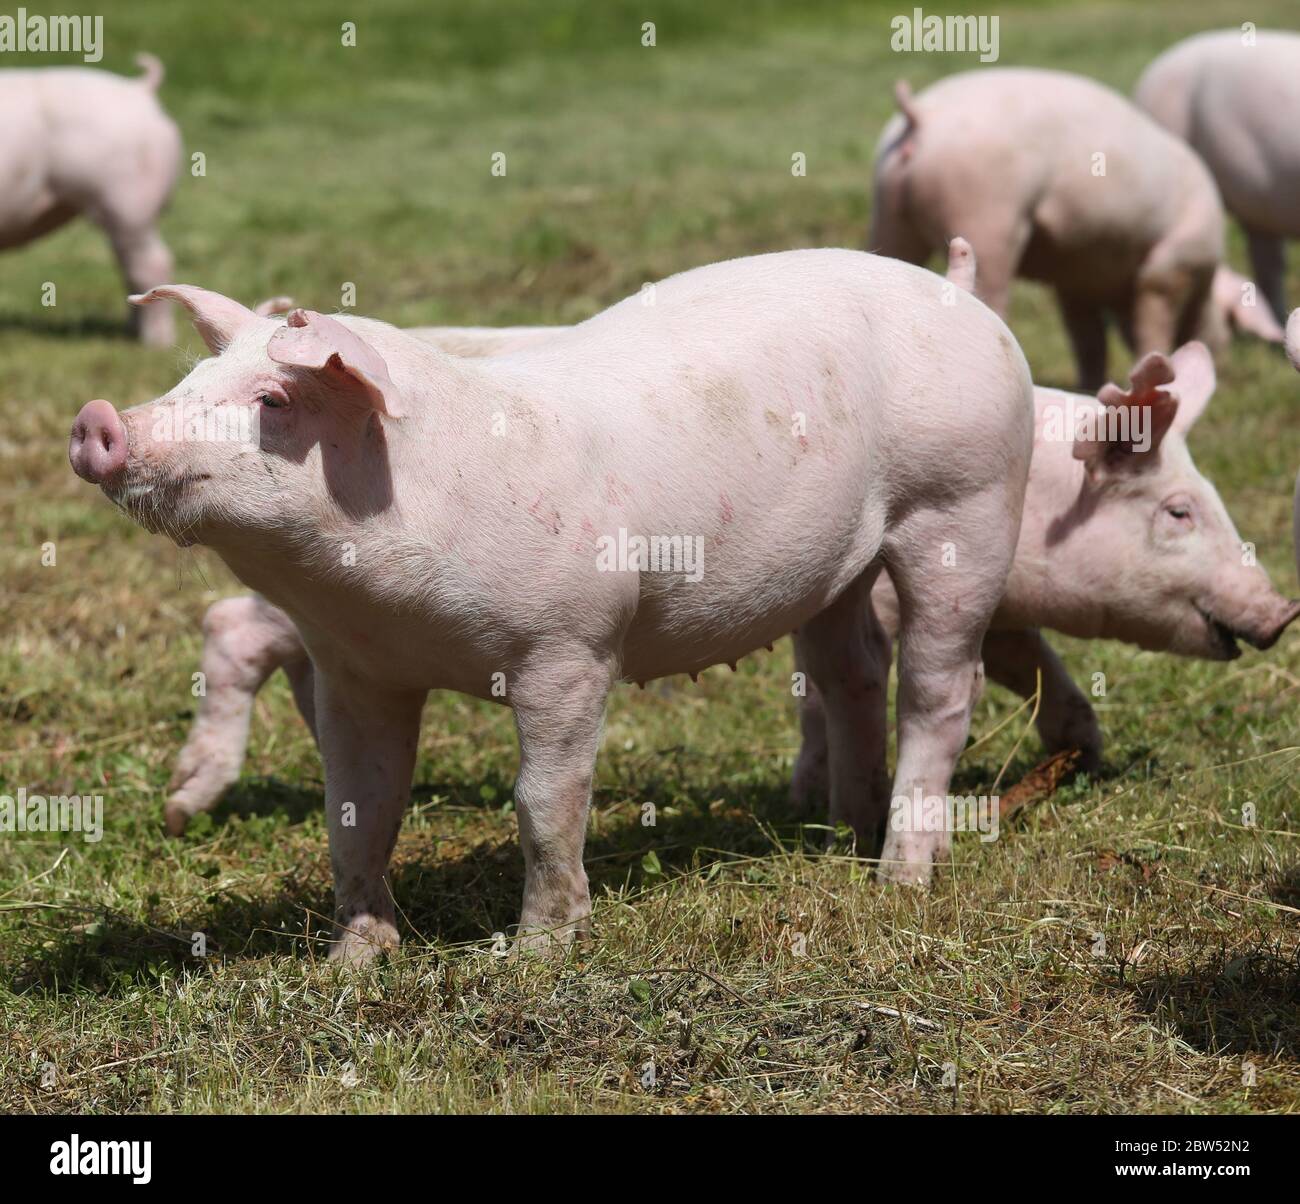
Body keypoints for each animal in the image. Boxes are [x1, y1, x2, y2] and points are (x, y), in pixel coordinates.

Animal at [0, 55, 181, 345]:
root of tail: (138, 89)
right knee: (128, 267)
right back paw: (130, 332)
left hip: (126, 201)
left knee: (154, 263)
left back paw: (156, 343)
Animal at [69, 250, 1036, 961]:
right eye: (191, 377)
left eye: (272, 400)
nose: (98, 419)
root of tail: (959, 290)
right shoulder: (354, 669)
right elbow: (358, 809)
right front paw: (355, 961)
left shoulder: (570, 646)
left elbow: (545, 797)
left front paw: (538, 950)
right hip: (840, 562)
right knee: (853, 672)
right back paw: (838, 831)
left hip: (965, 503)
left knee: (940, 691)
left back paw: (900, 878)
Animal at [871, 70, 1226, 391]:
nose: (1222, 357)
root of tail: (921, 115)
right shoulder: (1172, 262)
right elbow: (1153, 312)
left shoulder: (1076, 283)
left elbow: (1087, 337)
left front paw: (1090, 388)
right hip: (986, 214)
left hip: (889, 213)